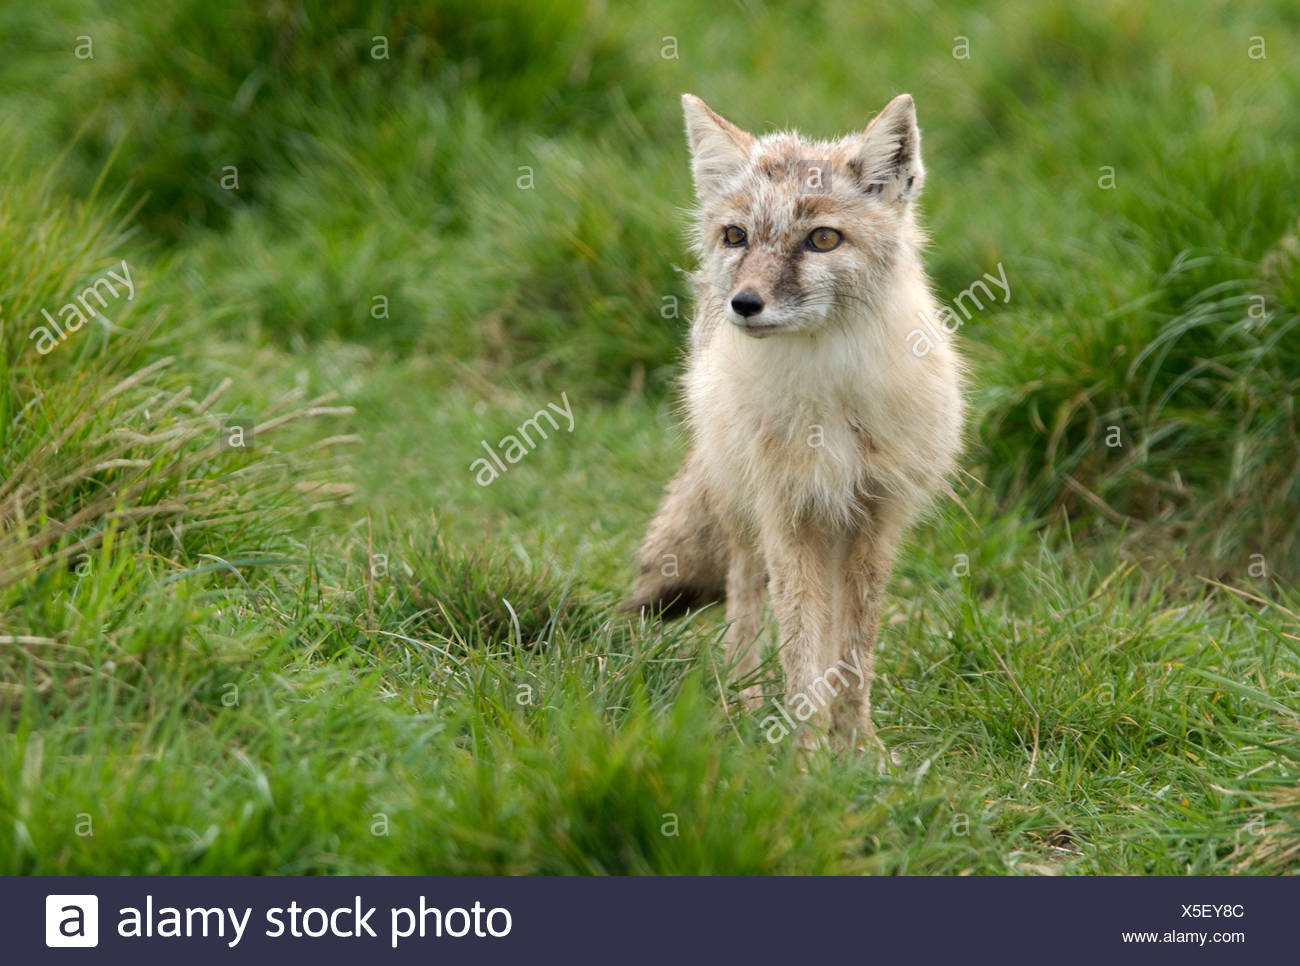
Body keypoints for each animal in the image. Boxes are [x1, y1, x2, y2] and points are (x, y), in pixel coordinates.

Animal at [626, 93, 965, 754]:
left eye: (822, 240)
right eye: (737, 236)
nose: (746, 304)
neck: (829, 395)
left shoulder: (873, 517)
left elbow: (852, 651)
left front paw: (857, 750)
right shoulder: (788, 512)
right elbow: (799, 647)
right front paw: (806, 757)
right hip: (744, 512)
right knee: (744, 608)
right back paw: (745, 705)